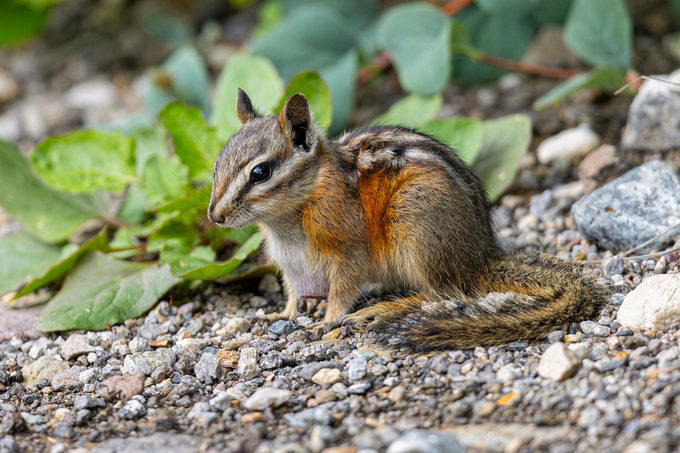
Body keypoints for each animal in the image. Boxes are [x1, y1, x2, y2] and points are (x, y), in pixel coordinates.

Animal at [208, 89, 607, 351]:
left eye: (260, 172)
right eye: (217, 164)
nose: (215, 215)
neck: (287, 220)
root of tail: (480, 258)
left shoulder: (347, 248)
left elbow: (343, 289)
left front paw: (327, 320)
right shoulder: (290, 263)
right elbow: (292, 293)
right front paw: (281, 315)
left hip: (414, 223)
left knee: (442, 292)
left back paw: (383, 309)